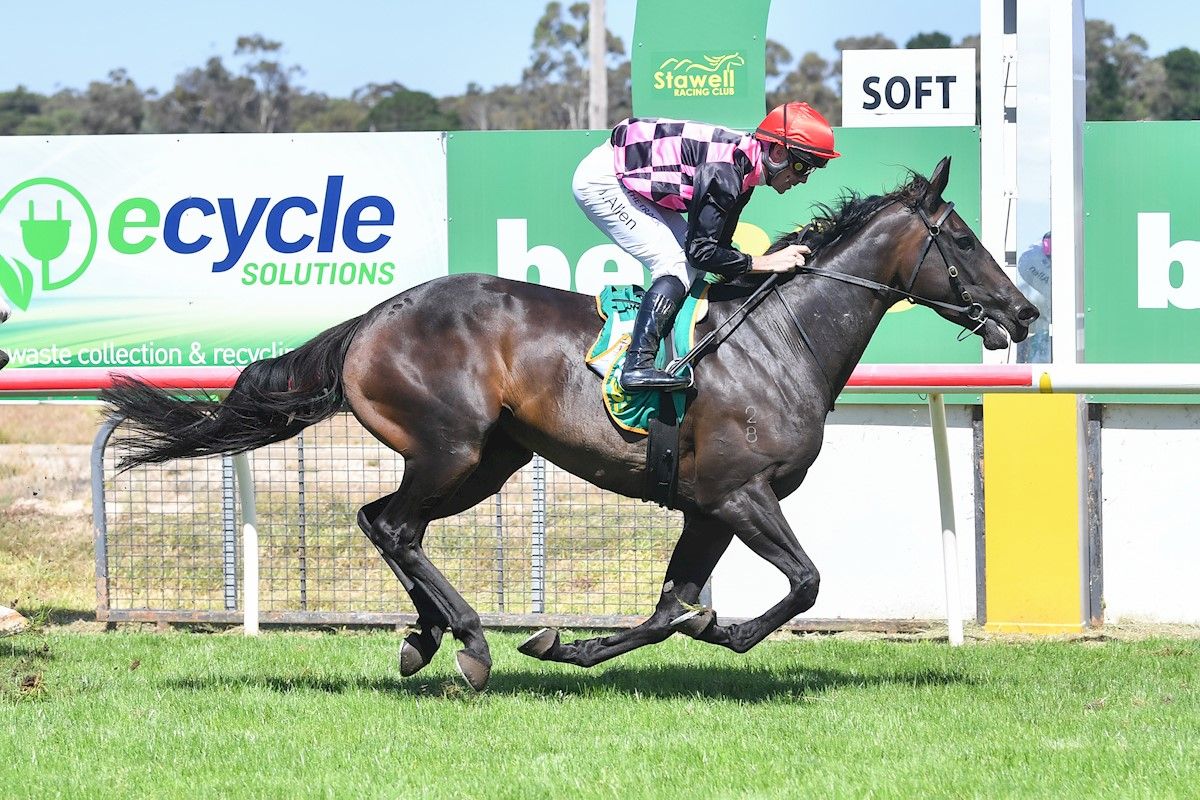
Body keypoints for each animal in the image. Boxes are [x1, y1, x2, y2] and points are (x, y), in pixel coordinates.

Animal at [102, 157, 1037, 691]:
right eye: (961, 237)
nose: (1024, 311)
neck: (777, 342)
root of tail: (374, 317)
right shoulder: (740, 495)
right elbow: (803, 583)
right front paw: (727, 630)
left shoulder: (706, 508)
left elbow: (669, 608)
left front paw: (571, 647)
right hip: (451, 448)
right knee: (393, 524)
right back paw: (467, 641)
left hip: (490, 461)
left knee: (386, 523)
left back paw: (423, 637)